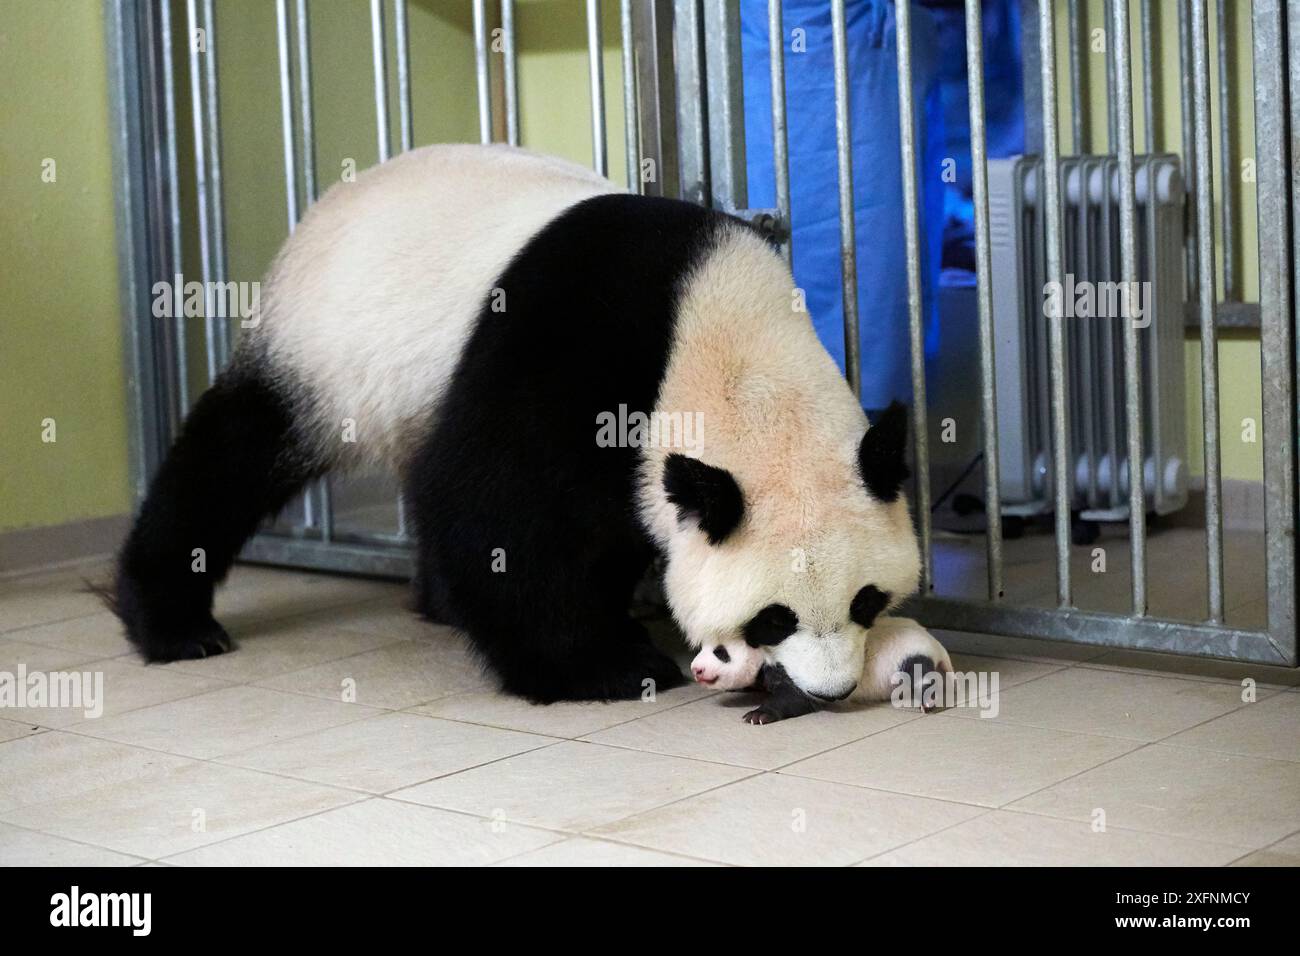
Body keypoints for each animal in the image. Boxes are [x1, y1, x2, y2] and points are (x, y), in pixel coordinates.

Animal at [112, 143, 921, 709]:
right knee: (236, 451)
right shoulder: (570, 347)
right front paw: (603, 667)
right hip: (324, 344)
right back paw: (176, 626)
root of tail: (330, 199)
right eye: (773, 619)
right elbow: (499, 508)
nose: (828, 692)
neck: (728, 350)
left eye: (867, 601)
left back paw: (436, 606)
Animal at [690, 617, 952, 723]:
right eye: (703, 647)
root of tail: (936, 645)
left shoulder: (801, 670)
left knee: (919, 677)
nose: (696, 669)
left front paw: (759, 715)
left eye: (721, 653)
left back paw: (926, 700)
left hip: (905, 655)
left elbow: (796, 698)